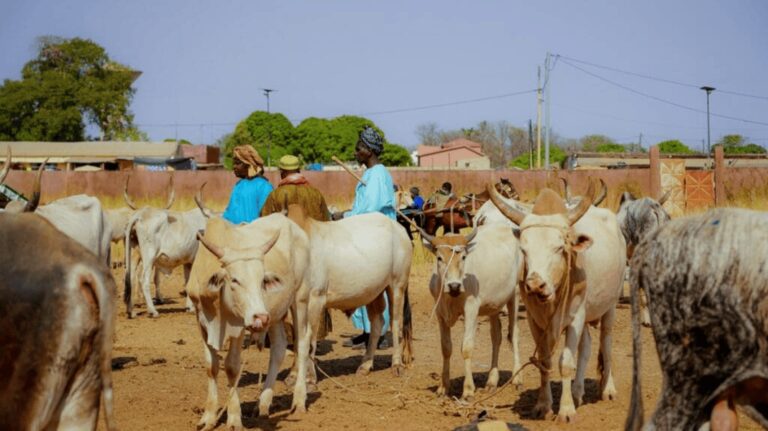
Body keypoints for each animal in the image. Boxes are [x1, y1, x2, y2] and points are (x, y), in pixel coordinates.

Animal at [123, 176, 203, 317]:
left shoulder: (188, 262)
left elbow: (188, 282)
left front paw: (190, 307)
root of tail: (139, 216)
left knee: (130, 278)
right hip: (149, 256)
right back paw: (152, 310)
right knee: (143, 280)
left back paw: (131, 311)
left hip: (134, 254)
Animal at [186, 213, 311, 429]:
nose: (260, 316)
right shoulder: (201, 321)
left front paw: (234, 418)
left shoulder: (238, 325)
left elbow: (232, 367)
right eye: (234, 280)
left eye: (262, 280)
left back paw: (298, 400)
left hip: (300, 298)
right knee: (279, 348)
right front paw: (209, 417)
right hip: (275, 313)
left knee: (302, 343)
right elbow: (211, 366)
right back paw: (263, 404)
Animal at [417, 221, 524, 399]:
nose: (454, 285)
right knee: (496, 336)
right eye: (439, 258)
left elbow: (466, 348)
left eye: (463, 257)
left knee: (514, 333)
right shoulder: (440, 313)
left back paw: (517, 377)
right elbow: (446, 348)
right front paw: (443, 387)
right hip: (493, 305)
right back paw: (491, 381)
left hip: (514, 294)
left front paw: (468, 390)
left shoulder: (471, 309)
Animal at [488, 181, 626, 422]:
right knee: (586, 347)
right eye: (523, 249)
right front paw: (544, 405)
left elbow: (566, 363)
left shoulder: (575, 318)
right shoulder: (535, 321)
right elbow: (545, 361)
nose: (535, 285)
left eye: (559, 248)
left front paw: (566, 410)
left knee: (606, 344)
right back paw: (577, 391)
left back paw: (607, 389)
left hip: (610, 307)